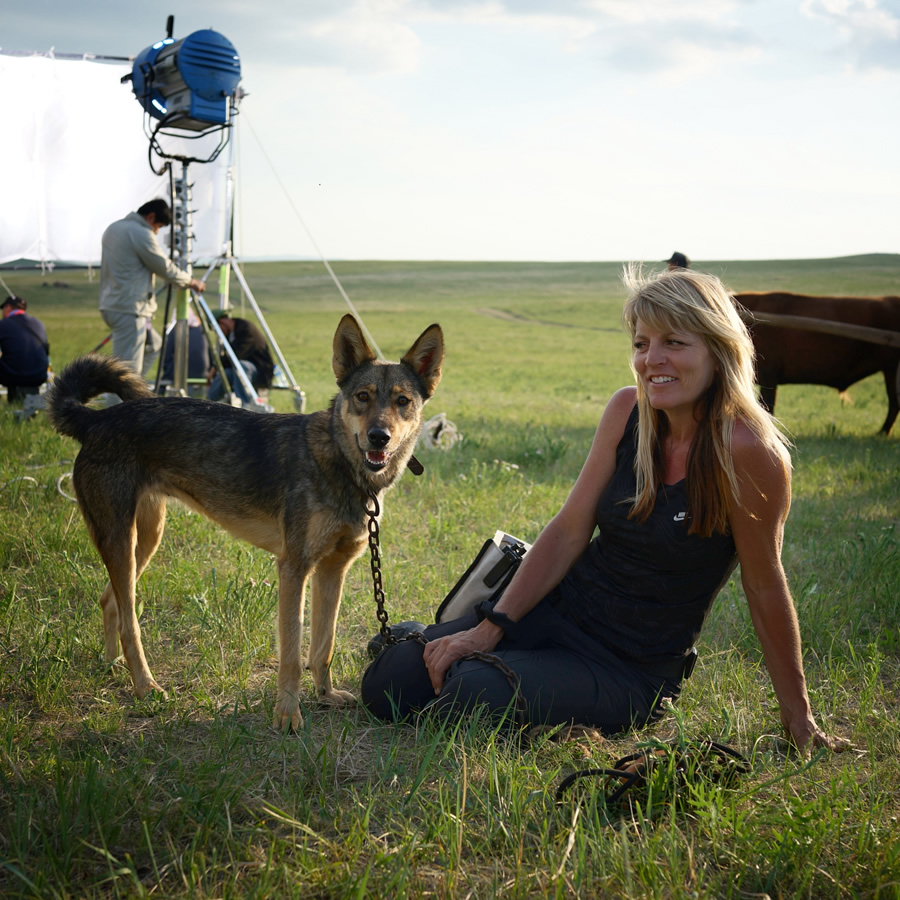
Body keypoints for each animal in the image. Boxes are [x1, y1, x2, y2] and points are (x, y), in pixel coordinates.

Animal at [46, 314, 444, 730]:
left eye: (402, 401)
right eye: (362, 397)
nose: (378, 437)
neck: (338, 462)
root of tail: (96, 419)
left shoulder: (333, 570)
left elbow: (324, 646)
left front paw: (326, 696)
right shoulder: (294, 568)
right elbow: (292, 657)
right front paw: (287, 716)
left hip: (146, 538)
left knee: (110, 600)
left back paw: (113, 665)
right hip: (121, 540)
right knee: (129, 621)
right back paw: (145, 687)